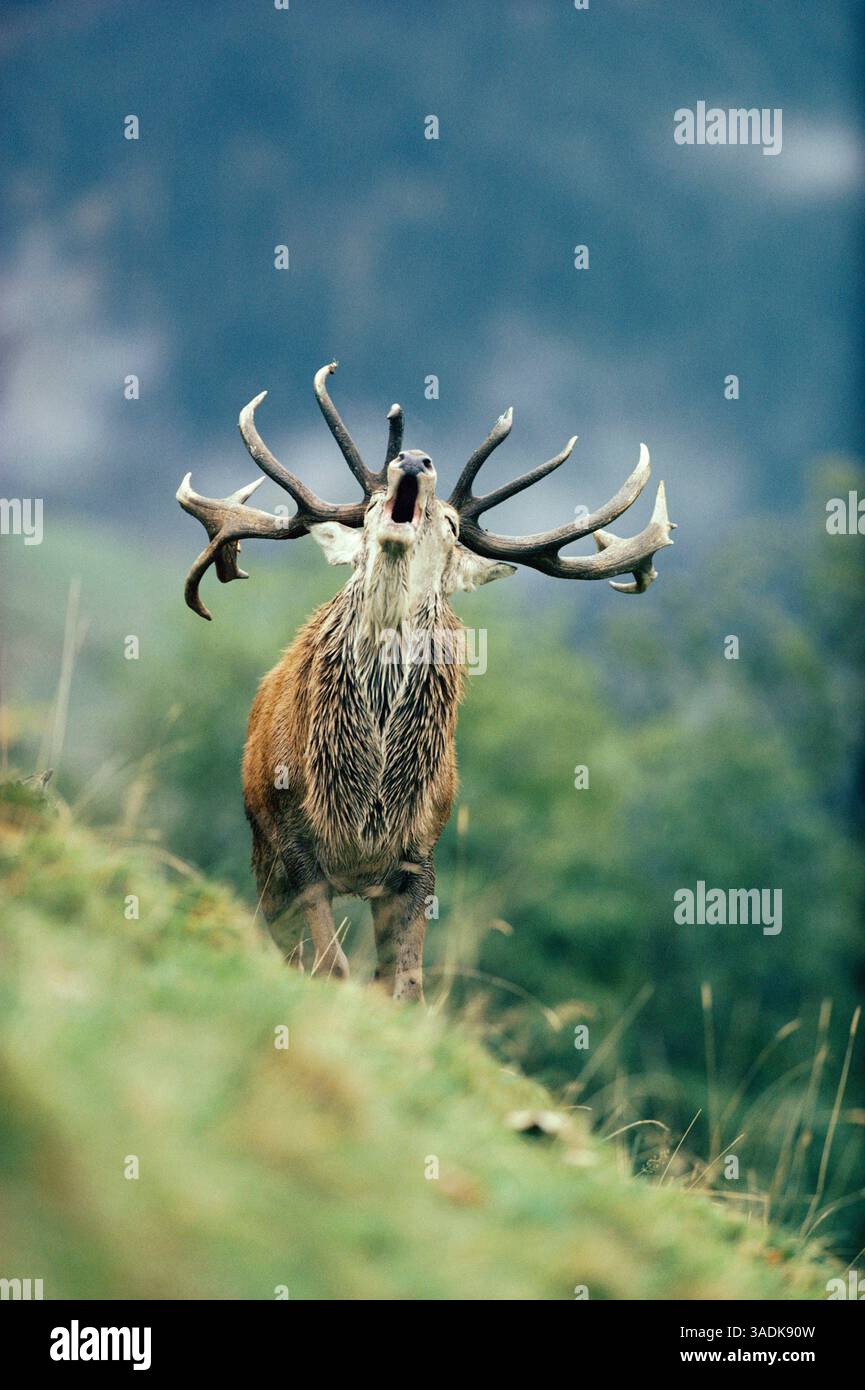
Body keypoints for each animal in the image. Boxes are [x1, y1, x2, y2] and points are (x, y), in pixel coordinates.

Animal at [177, 362, 674, 1001]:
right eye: (369, 508)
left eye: (455, 524)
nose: (412, 459)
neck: (366, 804)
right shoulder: (297, 846)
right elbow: (331, 967)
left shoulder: (419, 859)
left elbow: (406, 988)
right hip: (264, 858)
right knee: (290, 951)